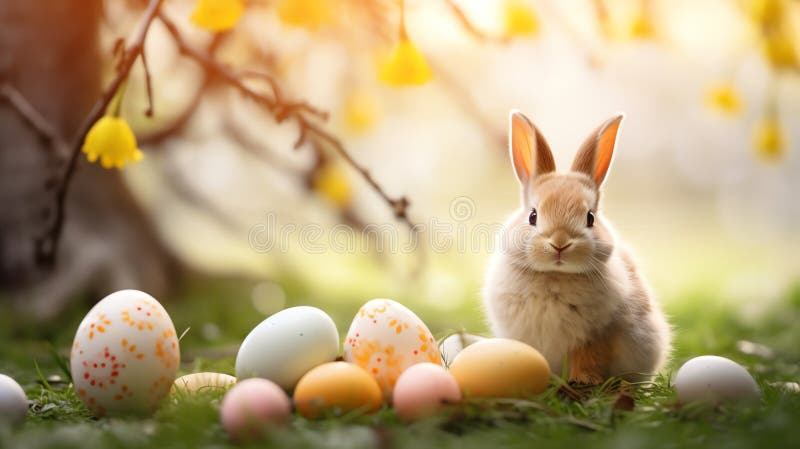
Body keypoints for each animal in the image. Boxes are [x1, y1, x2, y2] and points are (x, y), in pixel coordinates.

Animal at [482, 110, 671, 385]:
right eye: (533, 216)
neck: (555, 275)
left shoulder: (595, 336)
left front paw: (584, 380)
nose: (560, 243)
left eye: (590, 217)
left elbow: (587, 358)